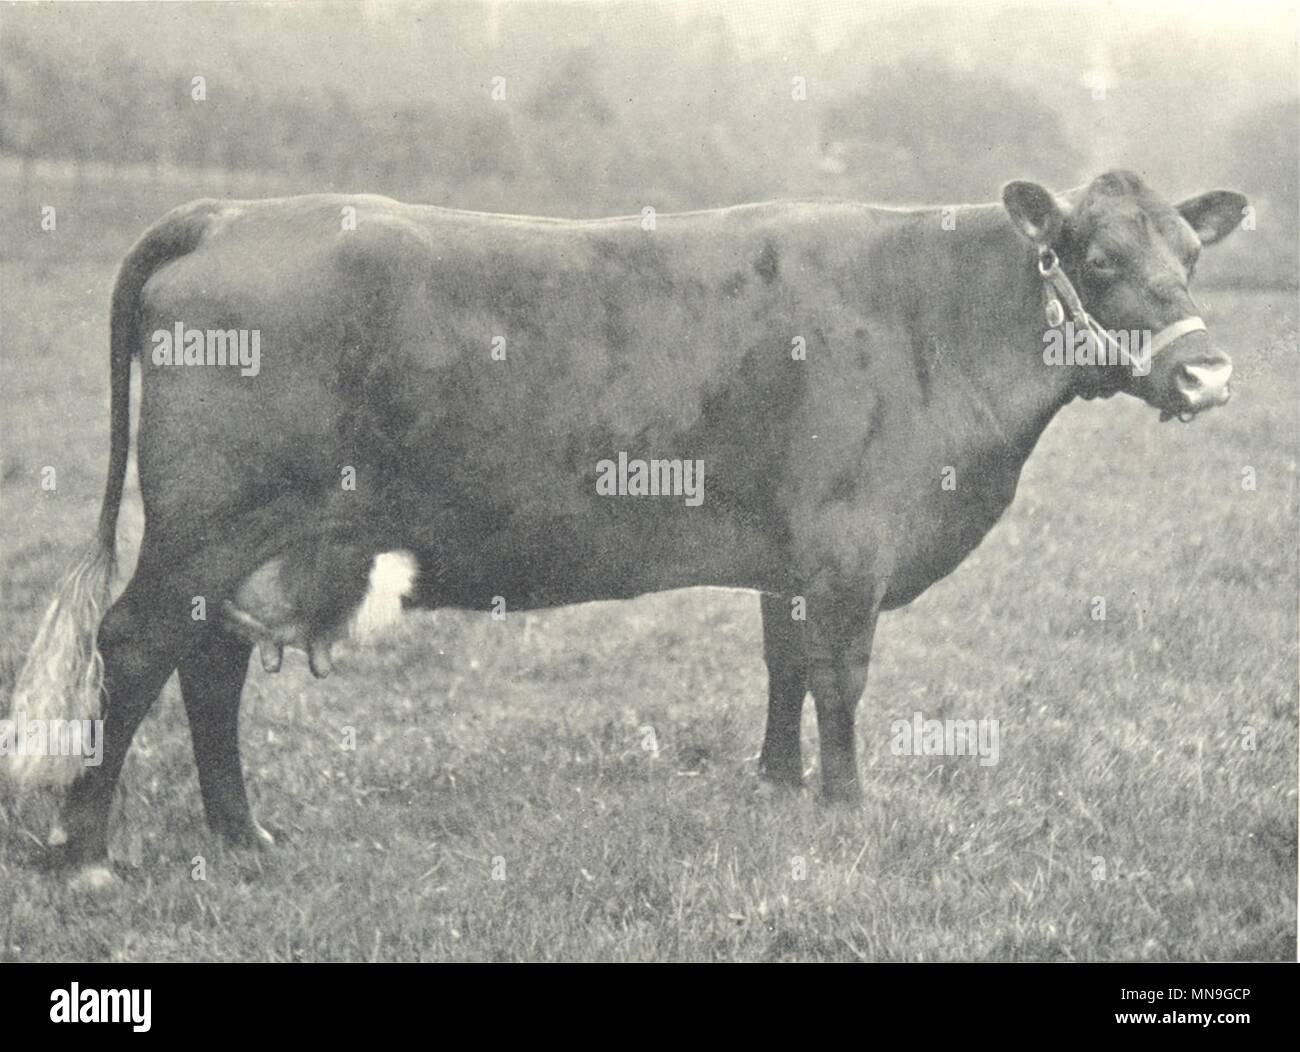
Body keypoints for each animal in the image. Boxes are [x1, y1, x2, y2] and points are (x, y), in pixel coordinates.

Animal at [7, 170, 1246, 886]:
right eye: (1098, 260)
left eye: (1192, 258)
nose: (1208, 373)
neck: (933, 316)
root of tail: (229, 210)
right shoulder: (849, 543)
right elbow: (839, 676)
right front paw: (845, 806)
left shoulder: (791, 555)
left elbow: (782, 663)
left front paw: (776, 783)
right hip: (208, 521)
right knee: (137, 647)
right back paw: (87, 854)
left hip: (252, 538)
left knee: (208, 663)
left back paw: (242, 835)